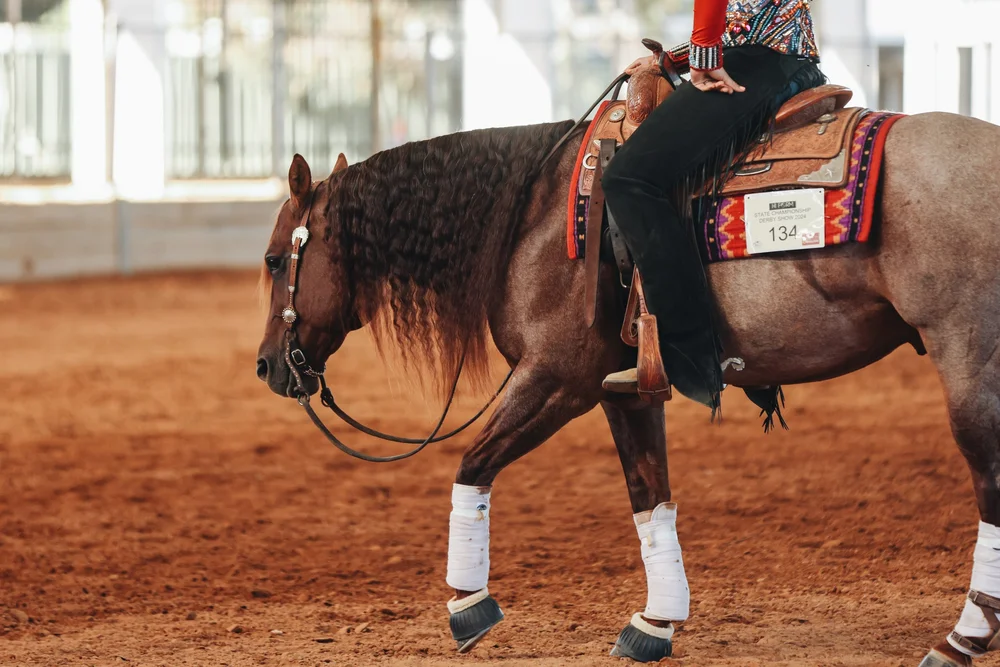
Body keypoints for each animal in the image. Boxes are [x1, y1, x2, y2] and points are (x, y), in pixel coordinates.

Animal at [255, 110, 1000, 666]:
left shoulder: (558, 377)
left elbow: (473, 464)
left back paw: (962, 637)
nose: (267, 366)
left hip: (969, 359)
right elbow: (650, 495)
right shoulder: (624, 391)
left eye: (271, 260)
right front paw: (656, 622)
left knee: (987, 475)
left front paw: (467, 604)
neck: (532, 215)